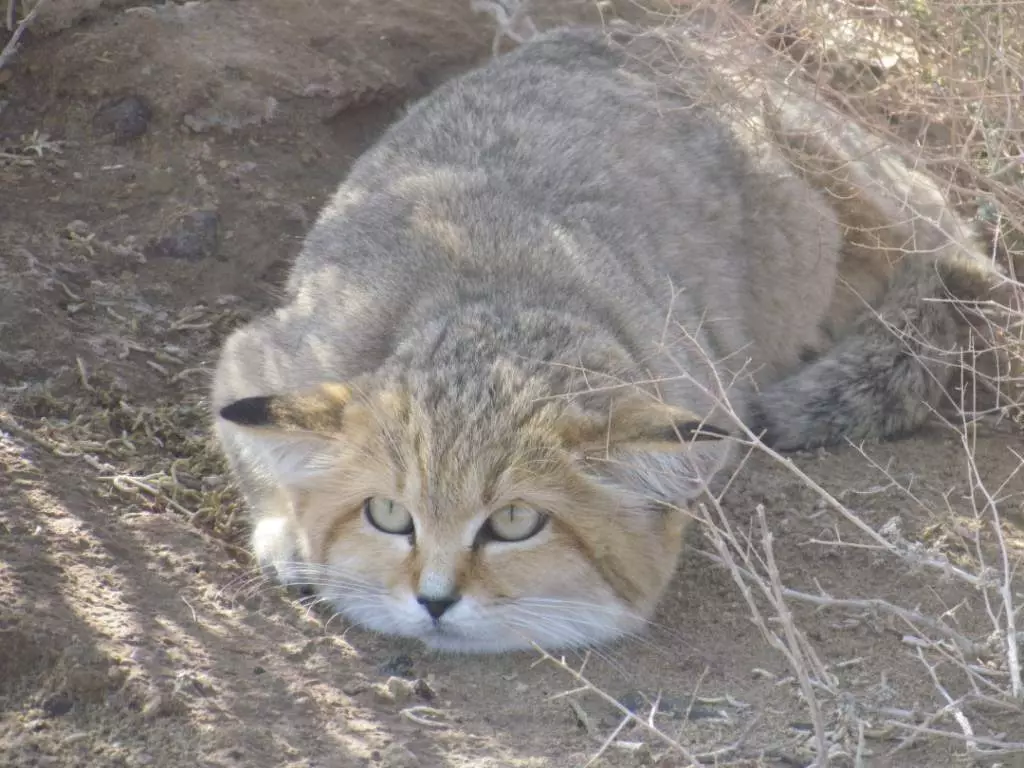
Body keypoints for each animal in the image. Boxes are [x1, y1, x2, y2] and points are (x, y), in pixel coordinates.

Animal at [211, 22, 1003, 651]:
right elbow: (252, 447)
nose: (433, 599)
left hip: (867, 191)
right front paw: (289, 529)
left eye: (515, 522)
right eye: (388, 515)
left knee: (964, 272)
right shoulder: (260, 353)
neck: (496, 308)